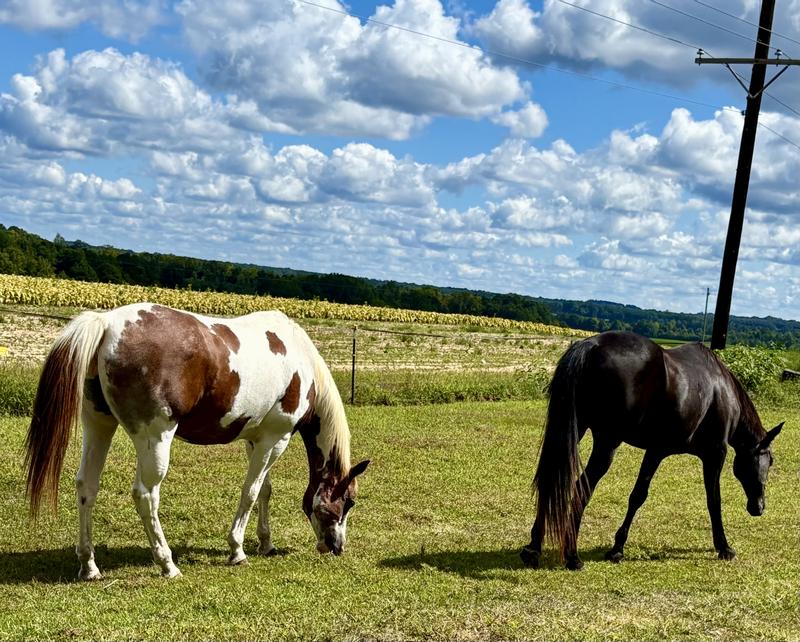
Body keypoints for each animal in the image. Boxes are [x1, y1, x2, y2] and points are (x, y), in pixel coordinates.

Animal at [24, 303, 370, 580]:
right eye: (348, 501)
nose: (336, 546)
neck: (300, 360)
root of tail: (107, 324)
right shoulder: (276, 438)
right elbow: (250, 492)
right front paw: (237, 550)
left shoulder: (256, 440)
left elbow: (264, 491)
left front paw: (266, 543)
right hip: (156, 439)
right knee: (146, 495)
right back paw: (167, 564)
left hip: (99, 425)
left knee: (87, 486)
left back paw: (89, 566)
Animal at [520, 331, 783, 570]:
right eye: (769, 461)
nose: (758, 507)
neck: (723, 391)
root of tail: (592, 345)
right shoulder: (714, 455)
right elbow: (713, 500)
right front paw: (724, 546)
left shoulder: (657, 451)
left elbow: (637, 495)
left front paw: (617, 548)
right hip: (607, 444)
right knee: (580, 488)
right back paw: (573, 557)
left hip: (574, 430)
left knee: (550, 481)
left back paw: (533, 549)